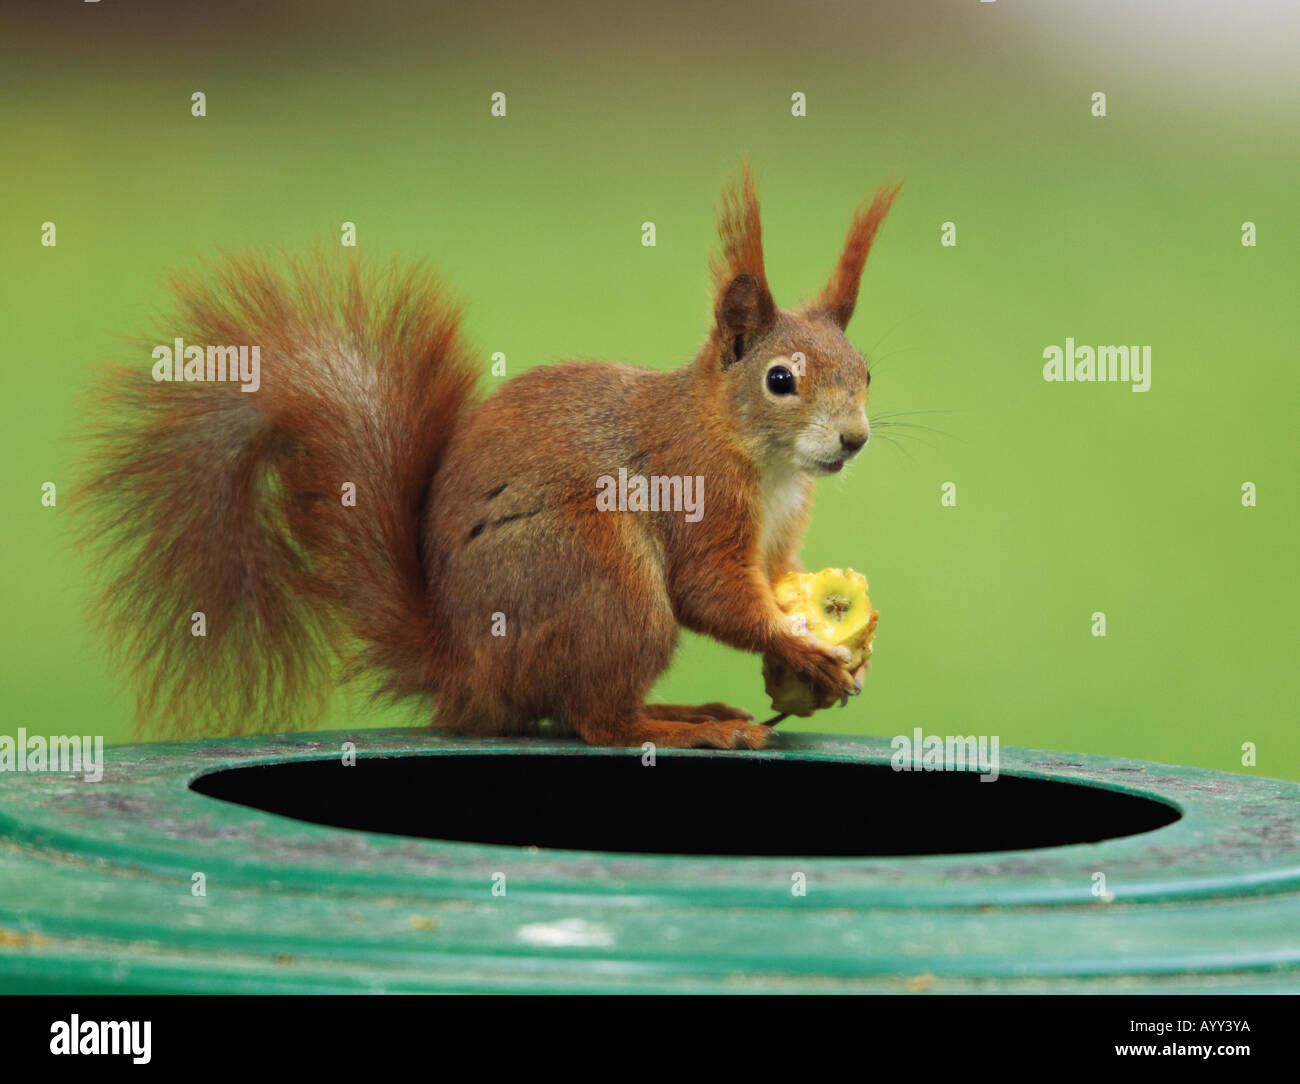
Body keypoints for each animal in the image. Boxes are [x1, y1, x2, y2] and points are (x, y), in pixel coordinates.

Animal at [79, 166, 899, 750]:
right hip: (603, 577)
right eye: (780, 380)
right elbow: (711, 592)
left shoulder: (777, 533)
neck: (757, 456)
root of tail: (465, 674)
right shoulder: (697, 491)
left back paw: (690, 709)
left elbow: (778, 576)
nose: (854, 440)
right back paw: (692, 728)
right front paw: (801, 649)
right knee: (597, 720)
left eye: (865, 372)